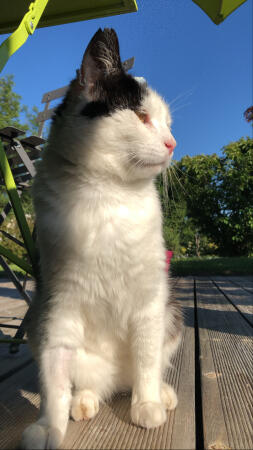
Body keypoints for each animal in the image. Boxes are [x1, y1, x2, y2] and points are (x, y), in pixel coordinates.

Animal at [21, 28, 183, 450]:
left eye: (168, 124)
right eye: (142, 116)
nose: (172, 143)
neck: (107, 196)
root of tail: (114, 380)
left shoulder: (150, 300)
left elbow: (147, 358)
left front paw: (147, 404)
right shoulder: (59, 303)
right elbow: (54, 374)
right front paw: (49, 425)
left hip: (172, 313)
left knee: (149, 364)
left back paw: (161, 393)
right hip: (39, 320)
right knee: (87, 381)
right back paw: (85, 400)